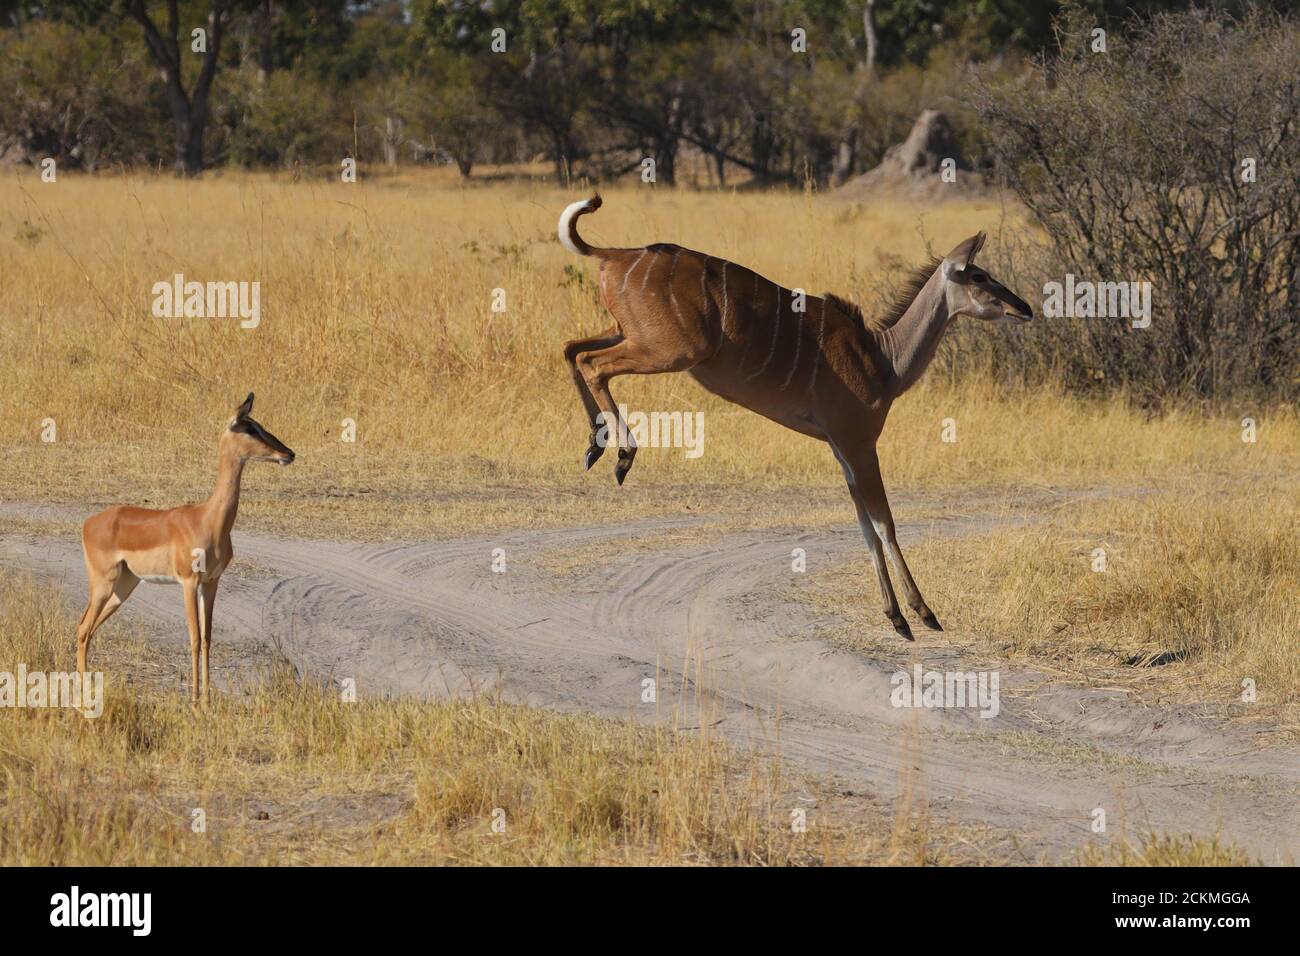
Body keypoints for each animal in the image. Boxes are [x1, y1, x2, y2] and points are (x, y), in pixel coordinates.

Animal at [77, 393, 295, 702]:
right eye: (250, 428)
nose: (288, 453)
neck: (208, 519)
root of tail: (89, 522)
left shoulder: (211, 582)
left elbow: (207, 638)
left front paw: (206, 697)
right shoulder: (188, 582)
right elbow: (193, 638)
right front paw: (193, 699)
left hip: (124, 586)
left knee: (87, 627)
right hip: (103, 583)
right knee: (83, 628)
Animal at [558, 195, 1033, 640]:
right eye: (978, 276)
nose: (1025, 307)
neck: (883, 360)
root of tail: (614, 256)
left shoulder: (842, 451)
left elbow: (864, 525)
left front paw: (896, 616)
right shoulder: (859, 444)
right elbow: (884, 522)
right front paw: (922, 613)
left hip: (629, 333)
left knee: (571, 349)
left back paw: (594, 449)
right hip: (671, 349)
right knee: (594, 364)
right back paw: (622, 456)